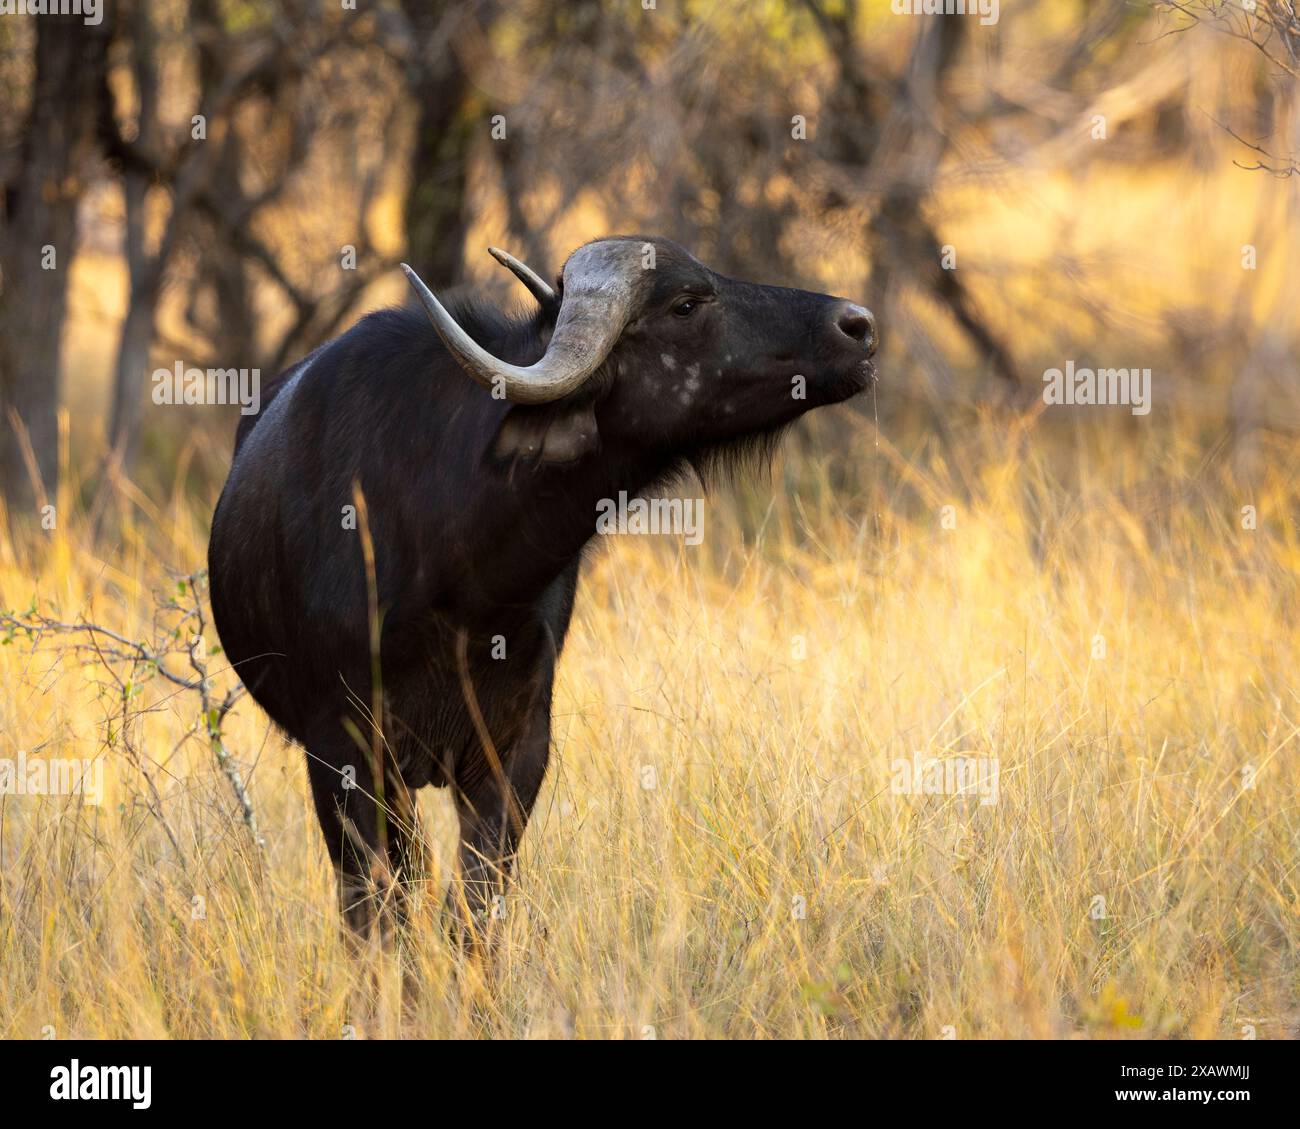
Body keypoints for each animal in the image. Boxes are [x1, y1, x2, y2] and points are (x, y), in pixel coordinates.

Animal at [208, 236, 877, 941]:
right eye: (686, 304)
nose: (859, 325)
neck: (457, 580)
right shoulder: (343, 753)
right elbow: (378, 912)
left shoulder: (518, 749)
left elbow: (473, 911)